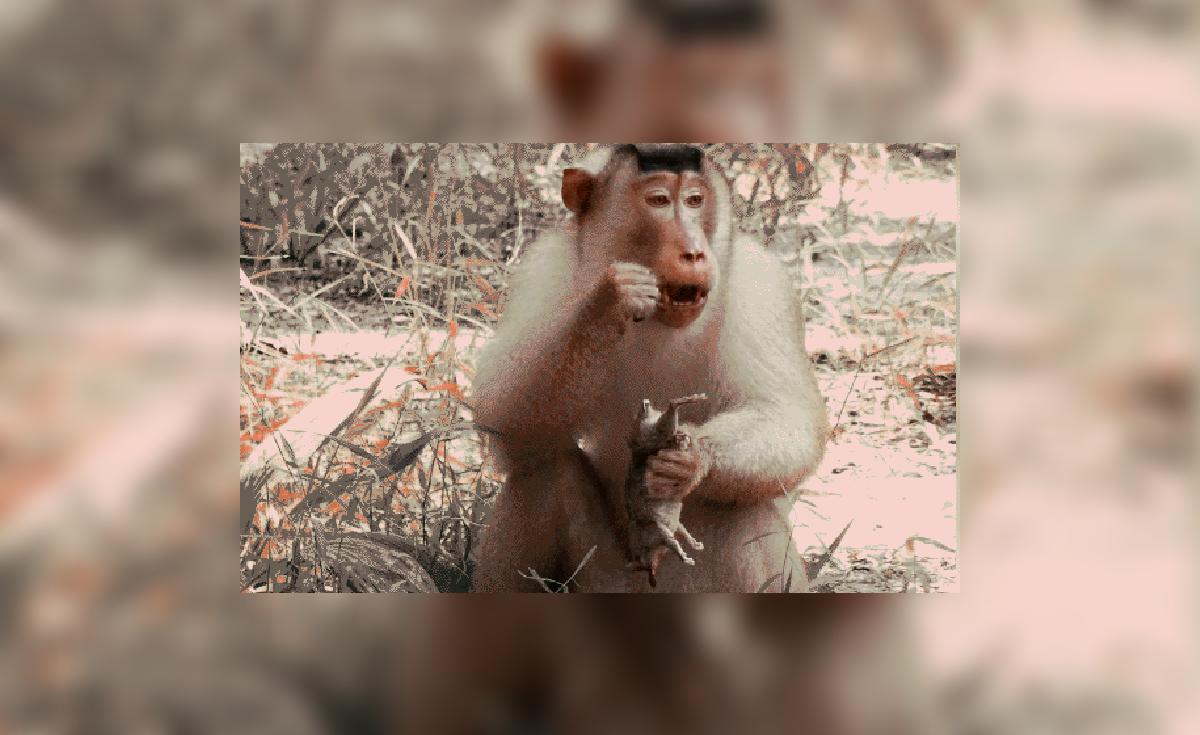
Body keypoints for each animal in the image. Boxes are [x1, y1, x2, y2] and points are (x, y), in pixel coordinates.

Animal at [471, 144, 828, 592]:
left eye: (694, 200)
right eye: (658, 200)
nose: (693, 251)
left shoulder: (762, 285)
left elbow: (786, 418)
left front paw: (692, 459)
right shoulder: (543, 271)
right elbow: (503, 419)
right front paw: (609, 302)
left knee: (748, 506)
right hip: (607, 580)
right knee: (543, 469)